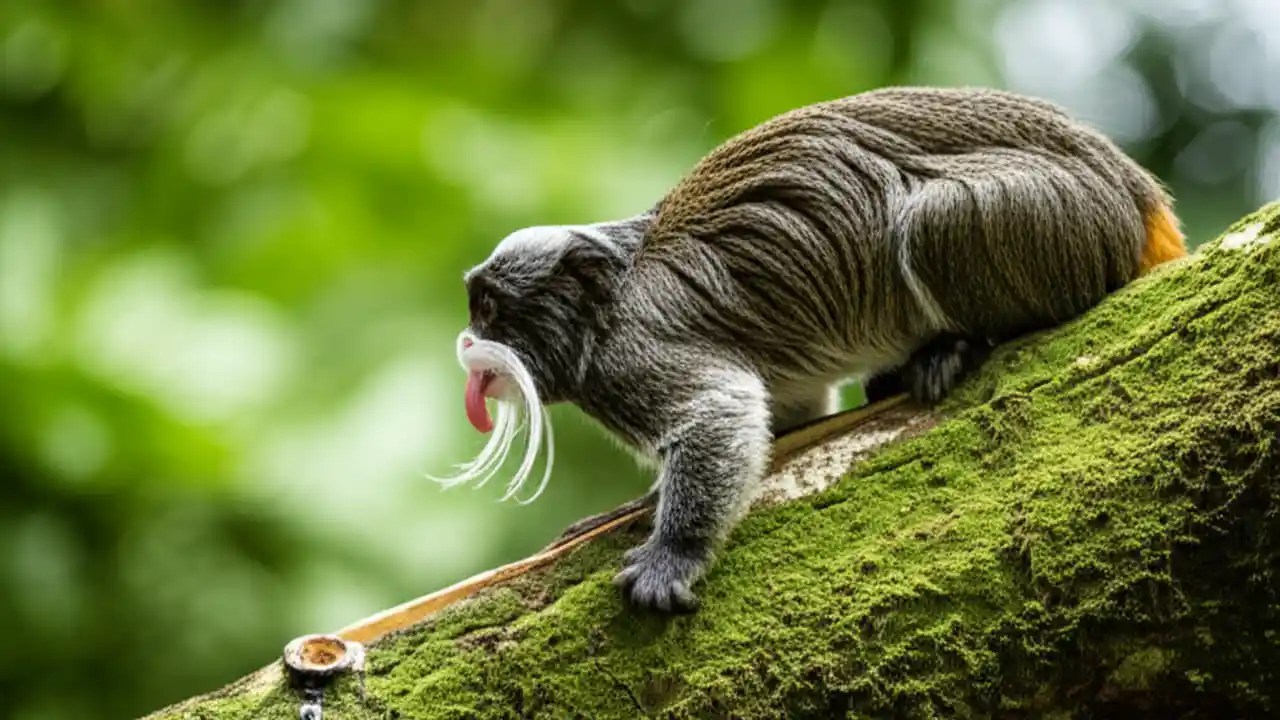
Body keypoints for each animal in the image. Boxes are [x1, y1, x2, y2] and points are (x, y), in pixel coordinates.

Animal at [429, 86, 1188, 613]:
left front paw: (674, 552)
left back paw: (953, 348)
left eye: (489, 310)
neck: (605, 308)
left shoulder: (633, 356)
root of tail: (1134, 190)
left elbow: (720, 411)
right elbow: (781, 412)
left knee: (931, 218)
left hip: (1051, 215)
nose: (468, 344)